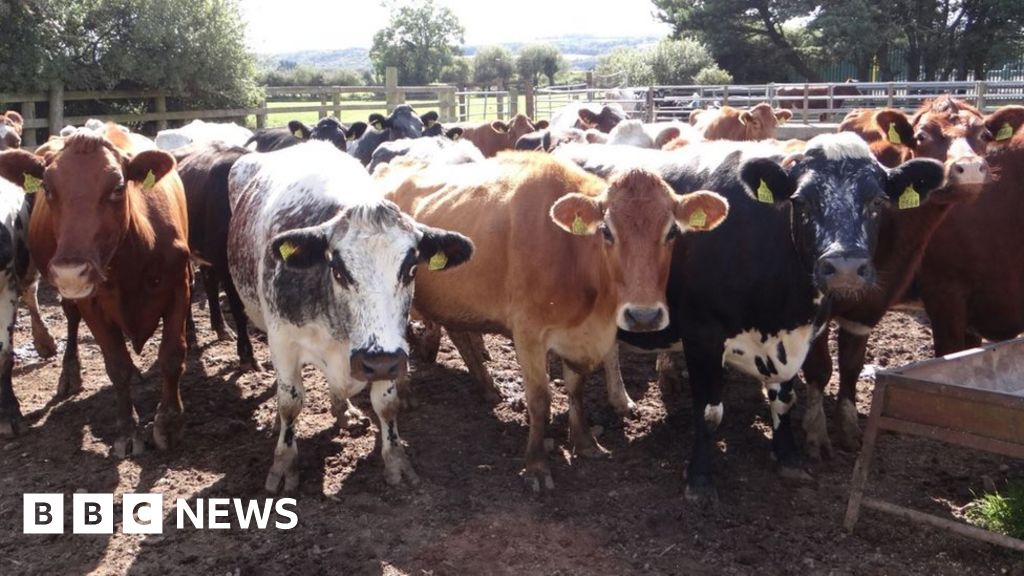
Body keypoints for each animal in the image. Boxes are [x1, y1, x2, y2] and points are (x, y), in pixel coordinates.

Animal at [1, 128, 192, 455]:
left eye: (117, 187)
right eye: (47, 187)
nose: (70, 271)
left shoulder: (179, 284)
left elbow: (171, 355)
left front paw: (168, 424)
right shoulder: (91, 302)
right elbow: (116, 366)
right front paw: (127, 431)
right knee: (71, 321)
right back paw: (69, 374)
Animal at [226, 141, 473, 491]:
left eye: (411, 269)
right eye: (339, 270)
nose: (377, 361)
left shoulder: (388, 351)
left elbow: (387, 404)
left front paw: (396, 461)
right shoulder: (283, 342)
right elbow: (290, 402)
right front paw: (284, 464)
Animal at [385, 151, 729, 492]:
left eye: (672, 232)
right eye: (606, 231)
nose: (643, 316)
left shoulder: (579, 336)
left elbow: (576, 388)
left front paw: (585, 442)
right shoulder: (528, 333)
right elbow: (540, 399)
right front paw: (537, 465)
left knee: (459, 334)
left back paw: (487, 388)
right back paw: (405, 394)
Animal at [556, 134, 945, 499]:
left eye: (877, 201)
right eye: (802, 201)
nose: (845, 267)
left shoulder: (801, 333)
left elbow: (785, 400)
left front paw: (788, 458)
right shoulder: (702, 334)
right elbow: (709, 410)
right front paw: (699, 479)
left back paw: (621, 400)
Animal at [805, 96, 992, 455]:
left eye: (985, 135)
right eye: (921, 136)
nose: (970, 169)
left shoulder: (870, 306)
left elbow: (851, 365)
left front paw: (849, 429)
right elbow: (819, 369)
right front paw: (816, 434)